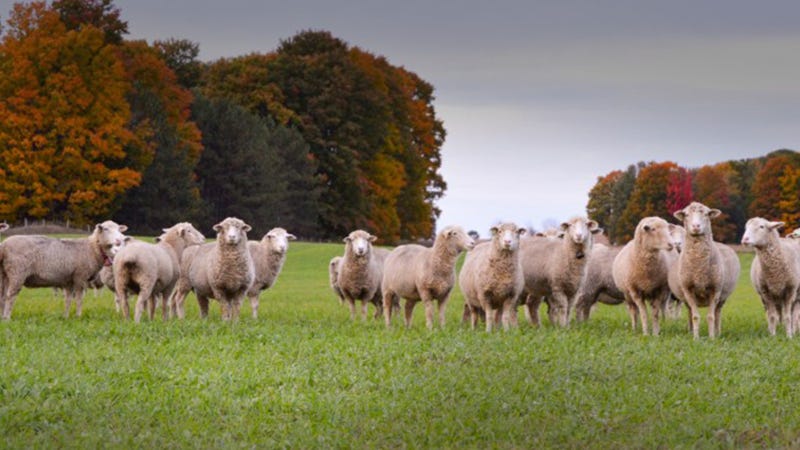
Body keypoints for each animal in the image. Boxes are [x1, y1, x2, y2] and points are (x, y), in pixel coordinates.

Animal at [668, 202, 741, 339]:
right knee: (690, 313)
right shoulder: (688, 290)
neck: (699, 268)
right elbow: (695, 317)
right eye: (686, 214)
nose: (696, 226)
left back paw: (717, 332)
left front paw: (712, 338)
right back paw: (691, 331)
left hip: (722, 297)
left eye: (706, 214)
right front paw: (696, 338)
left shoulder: (715, 289)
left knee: (717, 313)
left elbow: (711, 316)